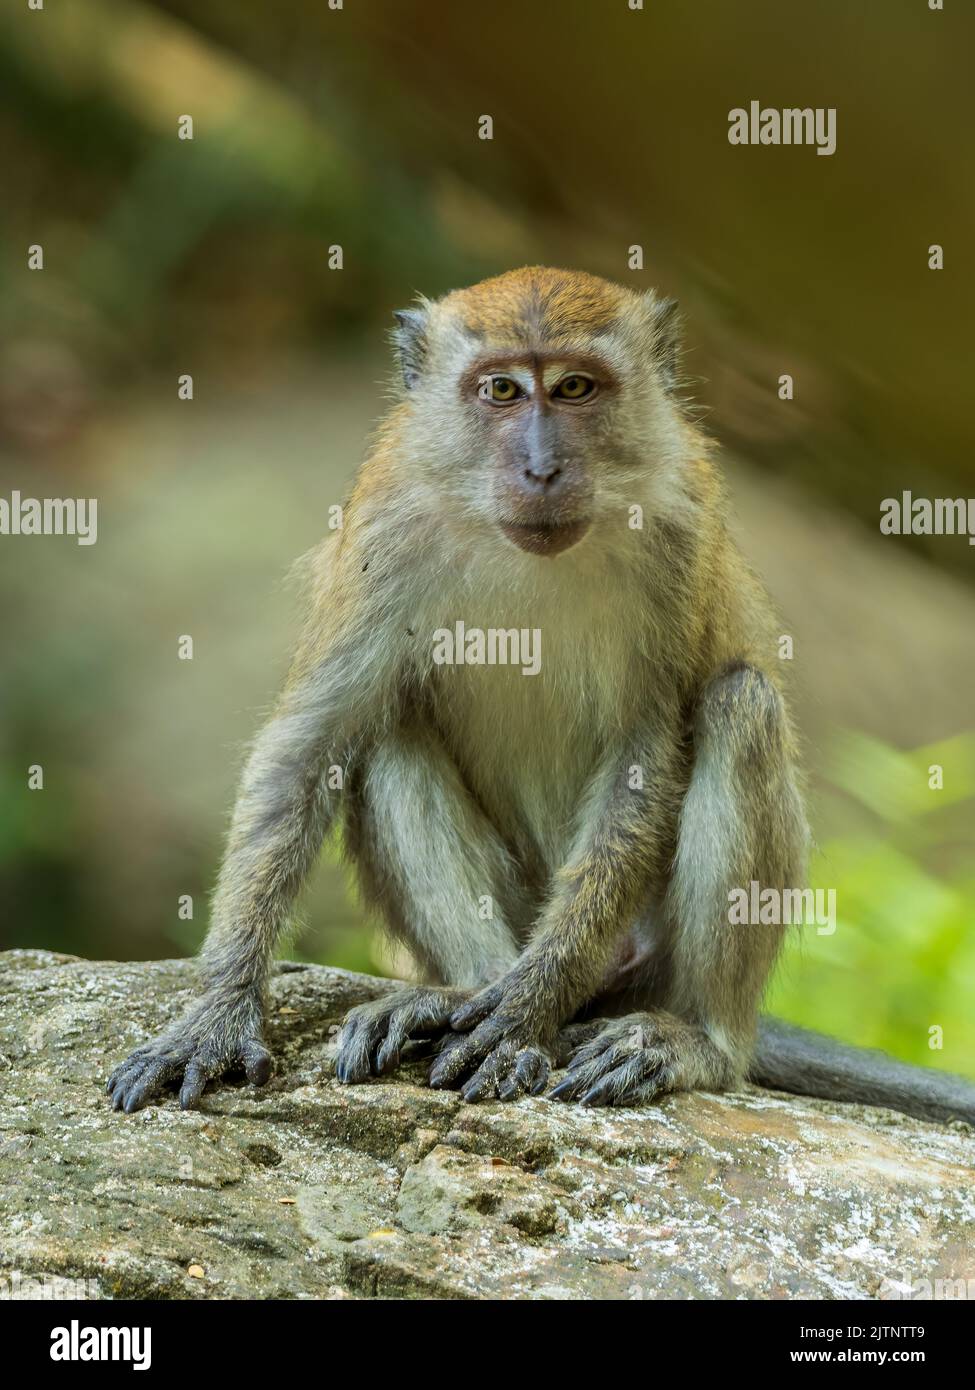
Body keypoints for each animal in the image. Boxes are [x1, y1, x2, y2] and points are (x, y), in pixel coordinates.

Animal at [108, 266, 975, 1126]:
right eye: (500, 390)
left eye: (573, 388)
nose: (541, 469)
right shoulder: (383, 525)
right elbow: (310, 744)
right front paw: (218, 1014)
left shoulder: (679, 529)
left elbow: (642, 752)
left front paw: (525, 1009)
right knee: (387, 731)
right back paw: (460, 994)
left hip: (643, 957)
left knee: (742, 705)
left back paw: (686, 1038)